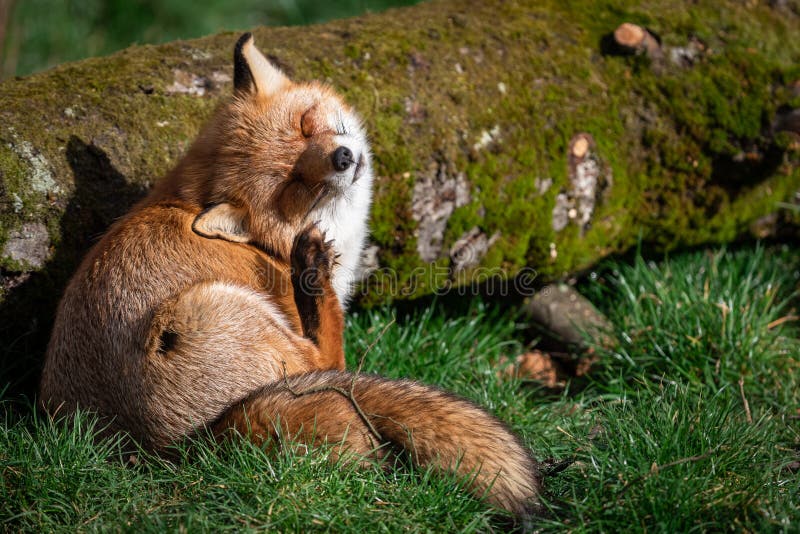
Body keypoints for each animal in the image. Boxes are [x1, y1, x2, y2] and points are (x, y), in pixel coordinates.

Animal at [39, 33, 542, 519]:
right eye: (294, 183)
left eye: (305, 125)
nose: (343, 157)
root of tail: (174, 451)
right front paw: (315, 273)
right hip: (214, 311)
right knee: (331, 360)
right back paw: (312, 274)